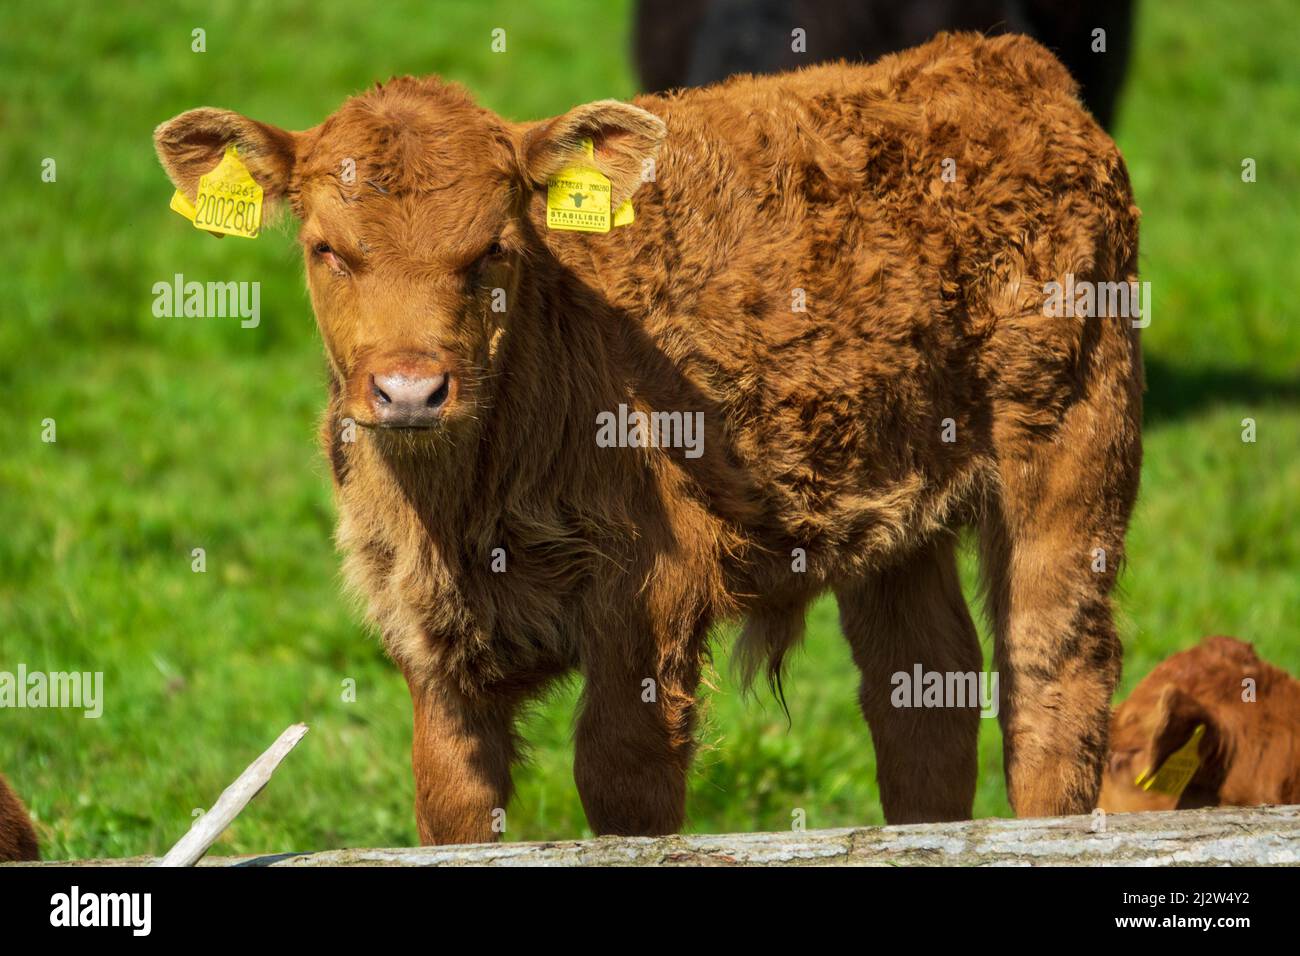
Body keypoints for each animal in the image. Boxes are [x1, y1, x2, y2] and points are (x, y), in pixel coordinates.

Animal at [155, 32, 1143, 843]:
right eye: (327, 249)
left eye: (494, 248)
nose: (410, 391)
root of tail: (999, 61)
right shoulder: (426, 637)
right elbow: (454, 805)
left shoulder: (652, 600)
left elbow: (621, 781)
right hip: (899, 500)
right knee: (923, 686)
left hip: (1071, 447)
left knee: (1052, 671)